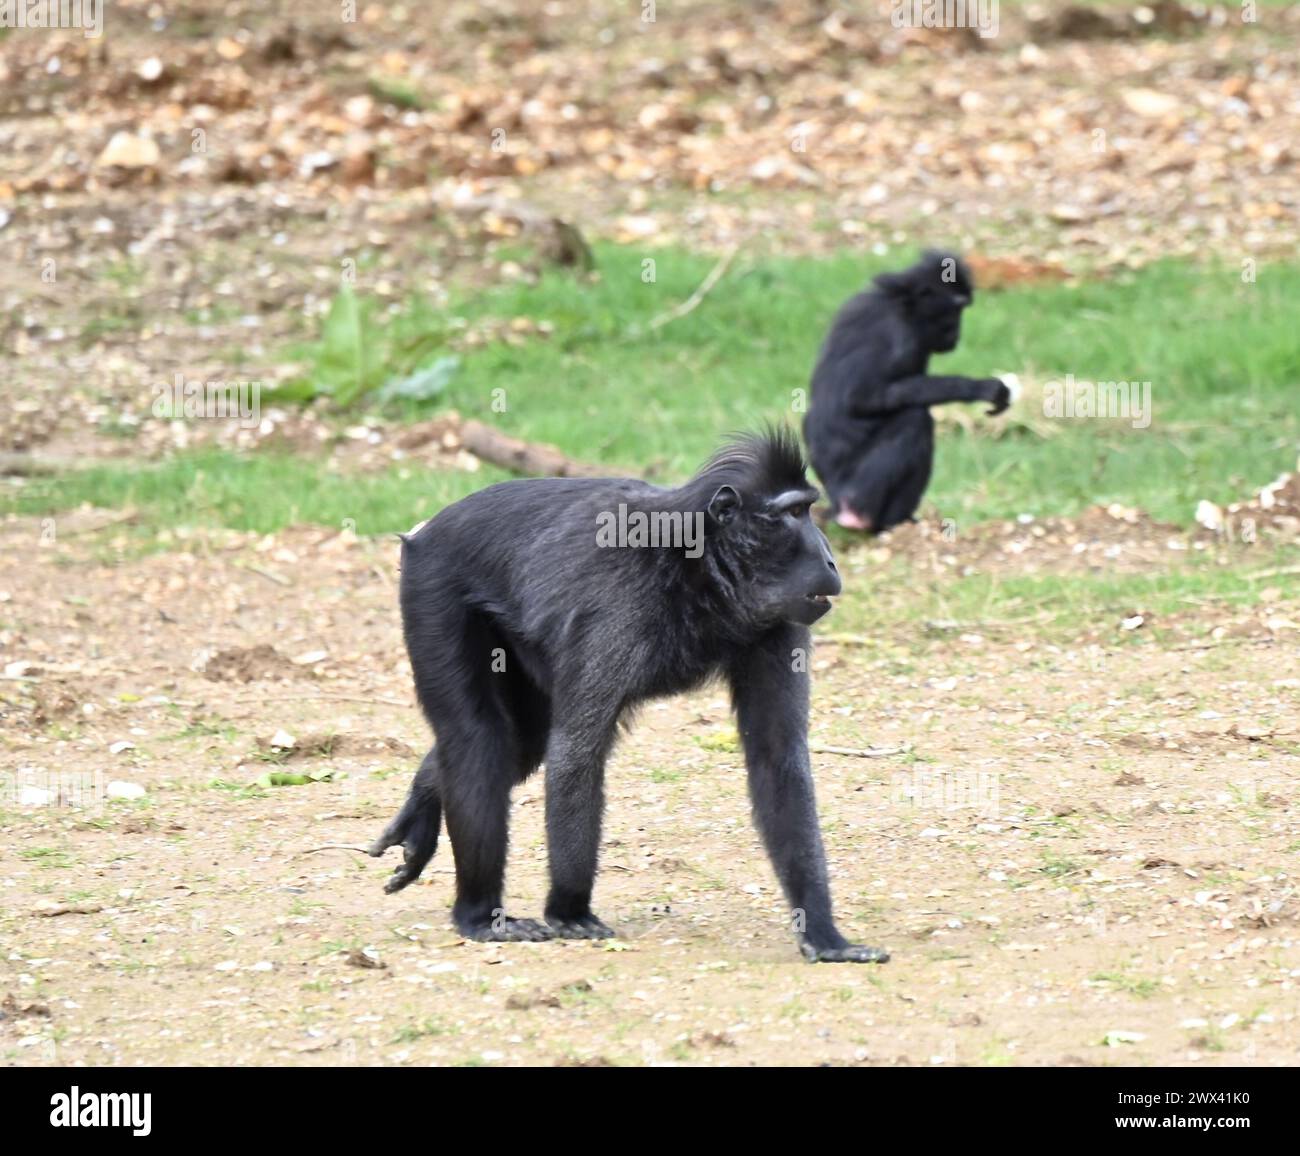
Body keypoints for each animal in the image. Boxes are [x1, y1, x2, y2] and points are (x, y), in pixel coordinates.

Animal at [370, 428, 888, 963]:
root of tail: (425, 531)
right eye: (792, 514)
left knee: (517, 743)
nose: (830, 558)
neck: (696, 566)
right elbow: (577, 755)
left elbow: (776, 757)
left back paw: (425, 798)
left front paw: (822, 932)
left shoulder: (777, 623)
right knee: (480, 738)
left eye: (808, 509)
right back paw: (477, 915)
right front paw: (569, 909)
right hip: (432, 590)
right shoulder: (616, 609)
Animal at [803, 250, 1011, 533]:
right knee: (914, 420)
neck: (903, 304)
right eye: (957, 307)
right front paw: (978, 388)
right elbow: (863, 397)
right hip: (853, 488)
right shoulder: (901, 336)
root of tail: (836, 503)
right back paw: (870, 519)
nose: (957, 332)